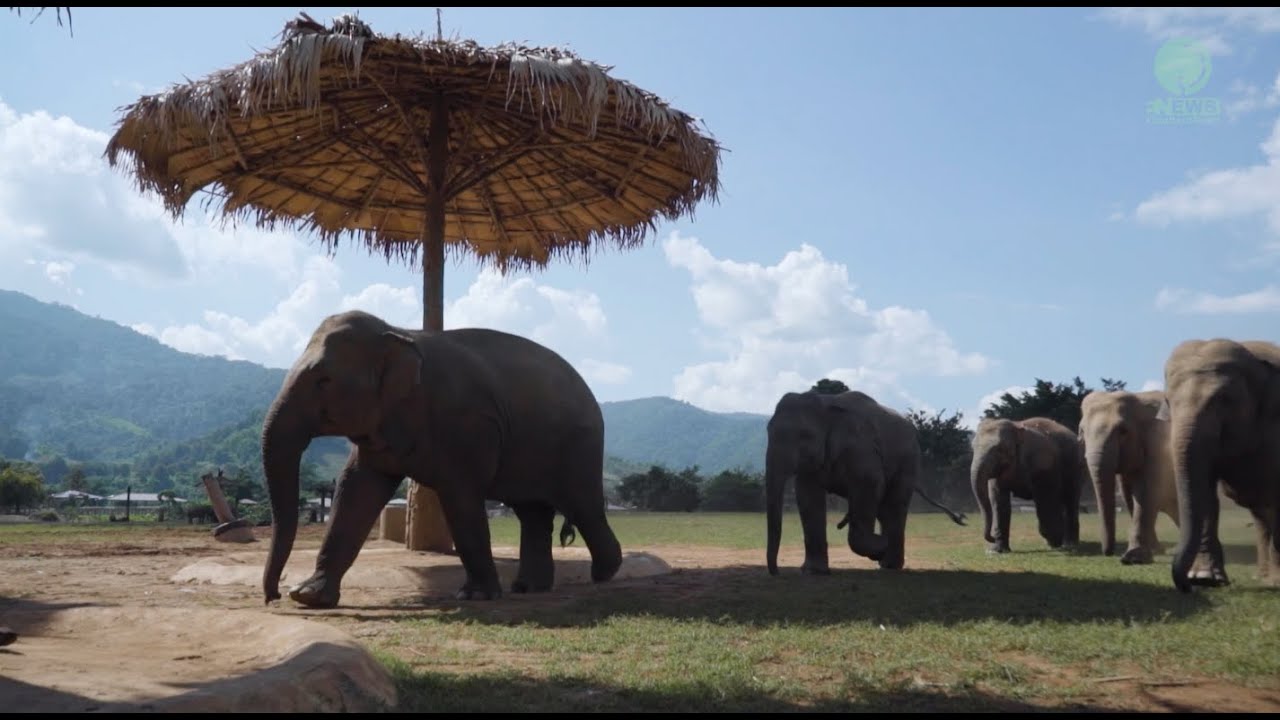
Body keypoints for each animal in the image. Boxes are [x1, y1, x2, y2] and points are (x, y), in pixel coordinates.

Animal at [260, 310, 623, 608]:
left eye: (323, 381)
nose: (273, 596)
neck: (398, 332)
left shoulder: (467, 425)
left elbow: (461, 497)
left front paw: (475, 596)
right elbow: (355, 491)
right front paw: (308, 597)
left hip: (580, 446)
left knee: (583, 506)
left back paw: (605, 573)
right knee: (533, 513)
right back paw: (529, 588)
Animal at [764, 390, 967, 576]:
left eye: (805, 436)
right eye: (768, 431)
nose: (776, 572)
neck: (826, 406)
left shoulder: (861, 449)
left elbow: (869, 486)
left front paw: (880, 545)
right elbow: (807, 496)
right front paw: (814, 571)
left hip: (909, 461)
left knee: (894, 507)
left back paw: (889, 563)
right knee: (885, 511)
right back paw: (886, 561)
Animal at [970, 416, 1084, 554]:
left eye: (1000, 449)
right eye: (973, 448)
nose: (991, 538)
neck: (1016, 426)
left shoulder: (1043, 463)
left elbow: (1046, 498)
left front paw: (1054, 541)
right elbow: (998, 499)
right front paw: (998, 551)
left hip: (1076, 466)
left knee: (1070, 499)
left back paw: (1069, 544)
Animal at [1078, 389, 1178, 564]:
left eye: (1123, 431)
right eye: (1082, 431)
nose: (1108, 553)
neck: (1138, 398)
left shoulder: (1157, 445)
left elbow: (1145, 492)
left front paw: (1132, 558)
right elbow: (1129, 495)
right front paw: (1154, 551)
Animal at [1159, 338, 1280, 592]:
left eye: (1225, 399)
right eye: (1167, 401)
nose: (1187, 587)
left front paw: (1278, 582)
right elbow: (1204, 492)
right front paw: (1205, 578)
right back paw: (1263, 577)